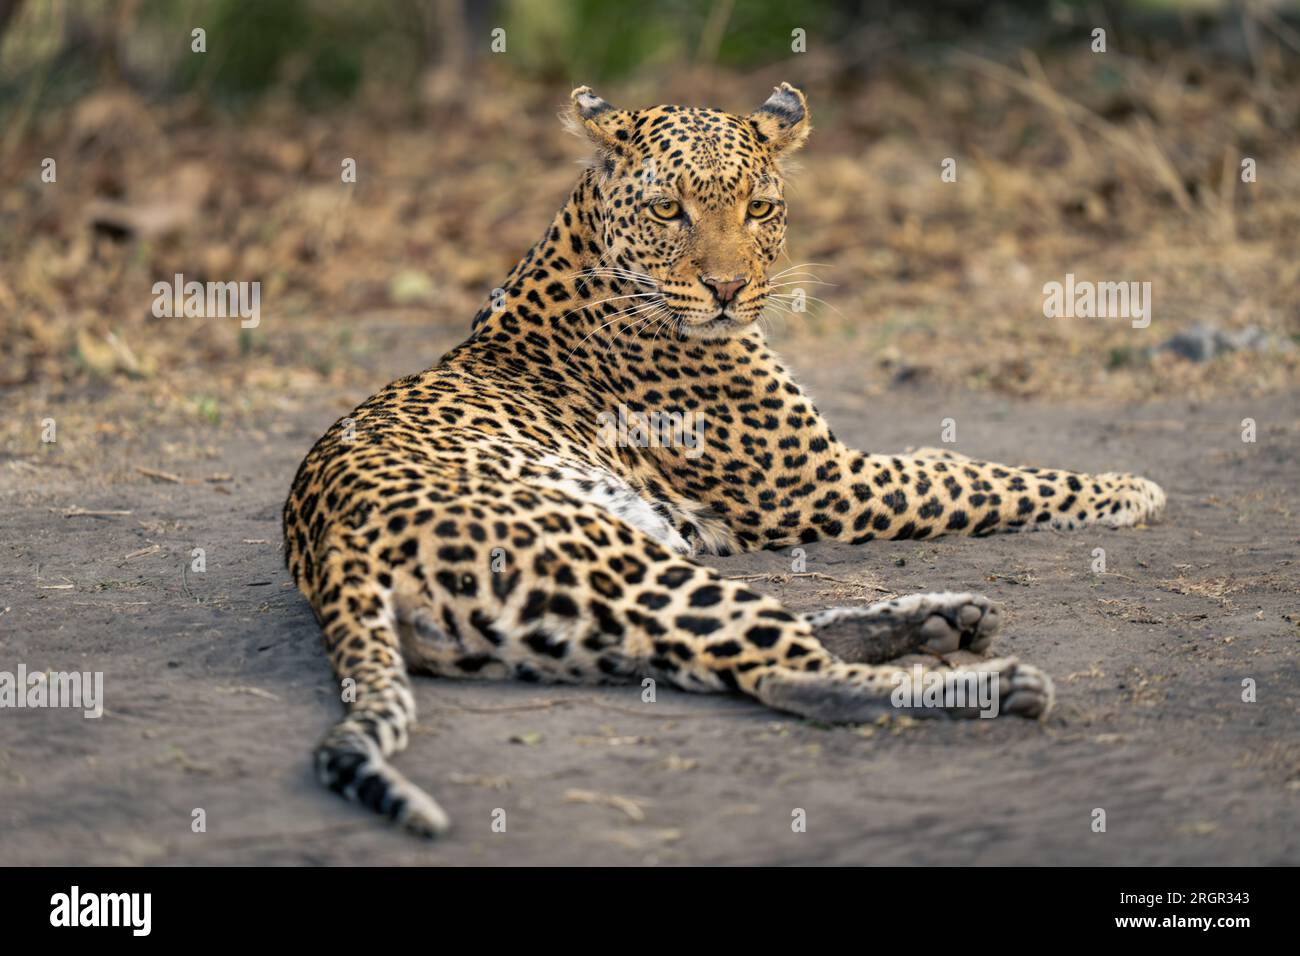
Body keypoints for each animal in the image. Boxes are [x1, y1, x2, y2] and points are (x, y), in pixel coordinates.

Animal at [282, 82, 1166, 837]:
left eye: (760, 207)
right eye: (668, 209)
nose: (727, 289)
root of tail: (334, 552)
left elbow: (949, 459)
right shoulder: (822, 483)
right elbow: (973, 477)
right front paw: (1127, 486)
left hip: (590, 610)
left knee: (739, 650)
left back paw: (944, 619)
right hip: (610, 558)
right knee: (789, 674)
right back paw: (994, 682)